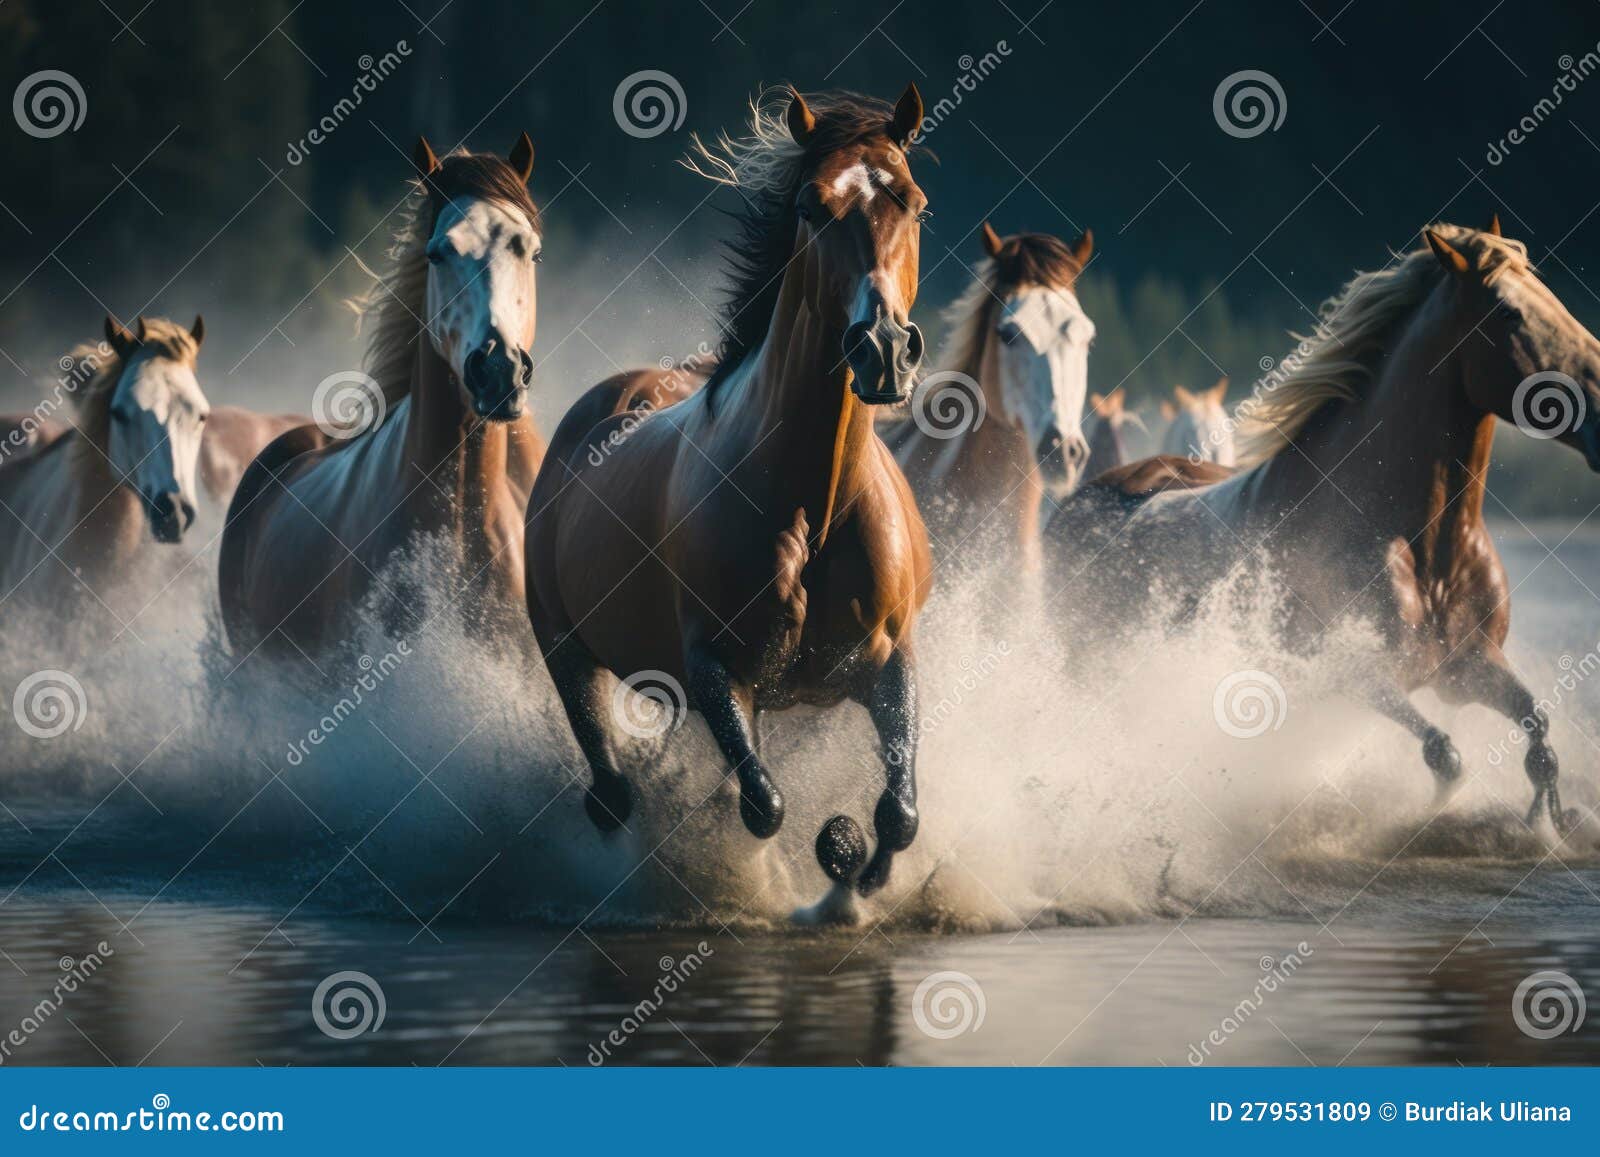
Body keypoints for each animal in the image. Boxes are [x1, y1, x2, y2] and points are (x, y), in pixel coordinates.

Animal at [524, 87, 932, 911]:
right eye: (812, 205)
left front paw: (857, 875)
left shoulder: (891, 657)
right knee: (612, 793)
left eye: (913, 202)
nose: (882, 348)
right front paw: (820, 863)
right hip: (565, 648)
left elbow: (900, 812)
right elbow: (760, 806)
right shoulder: (714, 666)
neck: (815, 507)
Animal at [1044, 218, 1600, 834]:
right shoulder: (1352, 674)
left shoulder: (1469, 669)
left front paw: (1549, 823)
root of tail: (1070, 506)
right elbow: (1445, 756)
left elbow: (1540, 742)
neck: (1421, 545)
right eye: (1507, 312)